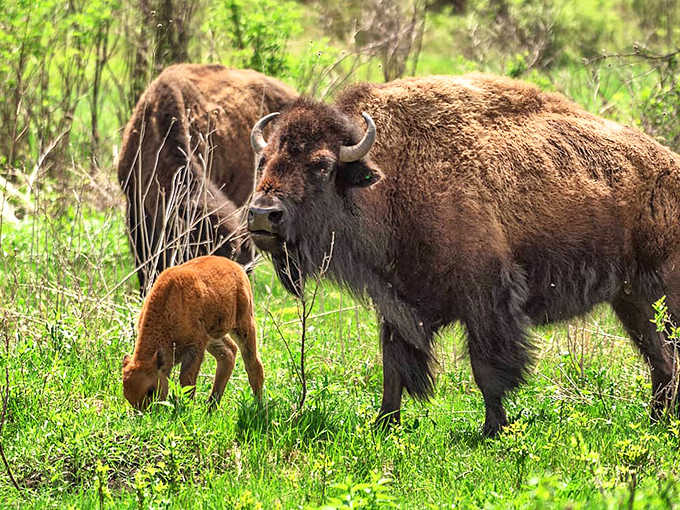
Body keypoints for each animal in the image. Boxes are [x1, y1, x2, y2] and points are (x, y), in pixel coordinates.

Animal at [247, 73, 680, 436]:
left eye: (320, 165)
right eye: (263, 161)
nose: (263, 214)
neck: (392, 174)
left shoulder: (486, 301)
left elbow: (486, 369)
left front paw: (492, 430)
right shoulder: (396, 304)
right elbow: (392, 366)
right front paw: (384, 425)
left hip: (661, 297)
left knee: (665, 358)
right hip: (632, 301)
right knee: (661, 361)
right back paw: (656, 423)